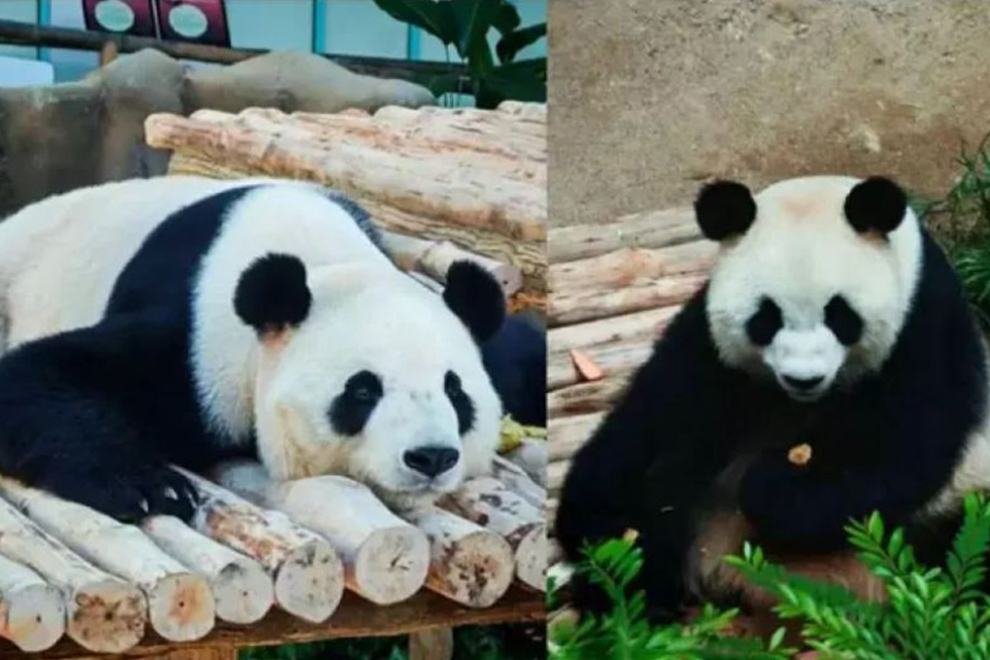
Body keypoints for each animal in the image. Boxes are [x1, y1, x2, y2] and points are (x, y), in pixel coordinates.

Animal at [0, 176, 506, 522]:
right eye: (363, 391)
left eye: (456, 392)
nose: (431, 456)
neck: (323, 259)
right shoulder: (196, 340)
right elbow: (38, 375)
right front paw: (152, 488)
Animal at [555, 175, 990, 619]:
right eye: (766, 317)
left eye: (840, 314)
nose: (804, 378)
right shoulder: (710, 350)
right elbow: (646, 427)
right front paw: (600, 528)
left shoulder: (925, 329)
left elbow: (903, 454)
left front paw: (773, 486)